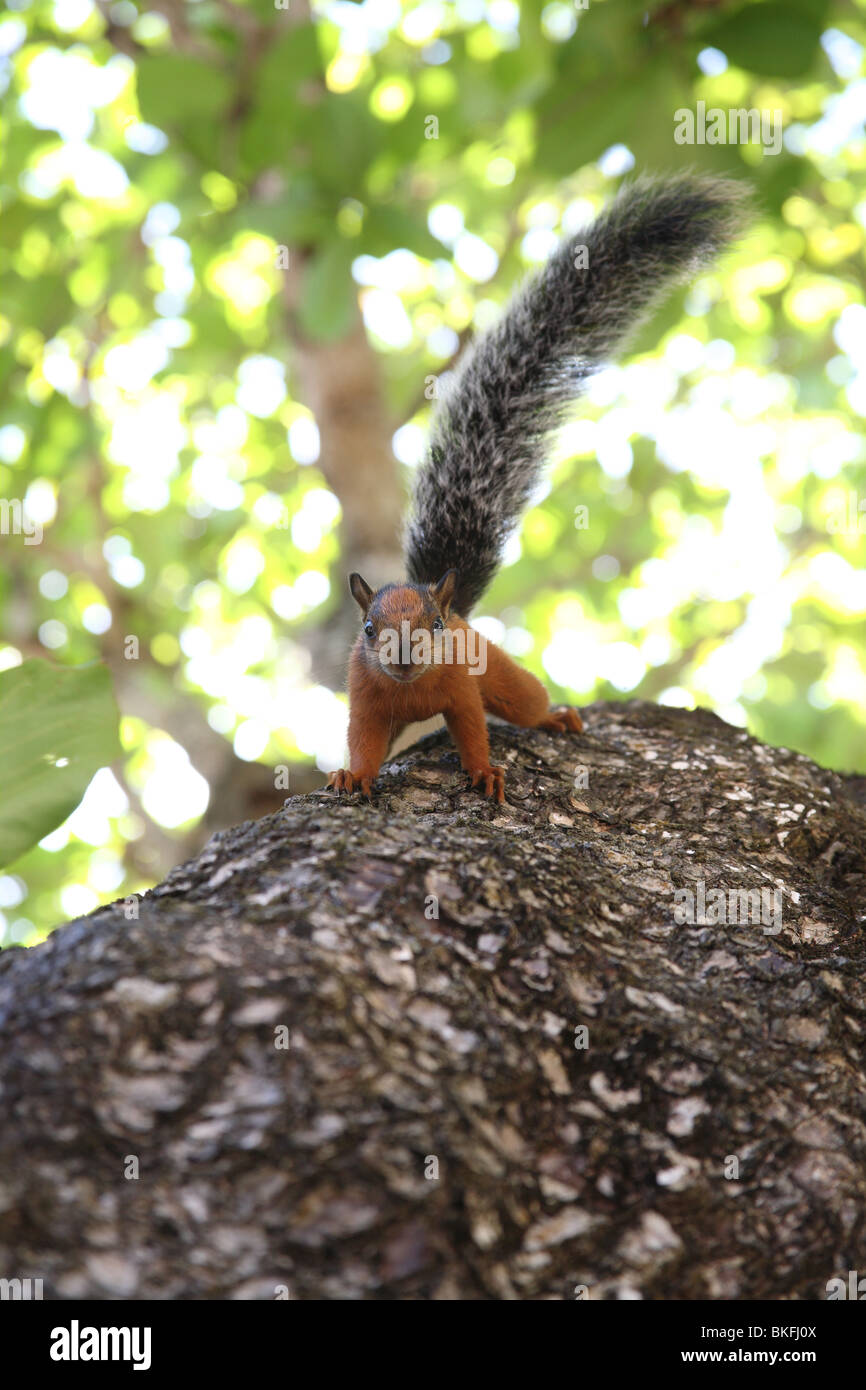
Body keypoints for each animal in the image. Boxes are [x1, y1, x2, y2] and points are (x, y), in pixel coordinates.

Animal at [328, 173, 750, 806]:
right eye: (370, 630)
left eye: (432, 628)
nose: (402, 657)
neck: (414, 687)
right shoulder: (366, 695)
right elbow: (363, 740)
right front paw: (352, 775)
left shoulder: (462, 687)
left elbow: (473, 727)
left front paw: (484, 772)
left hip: (499, 672)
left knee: (524, 702)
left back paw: (555, 718)